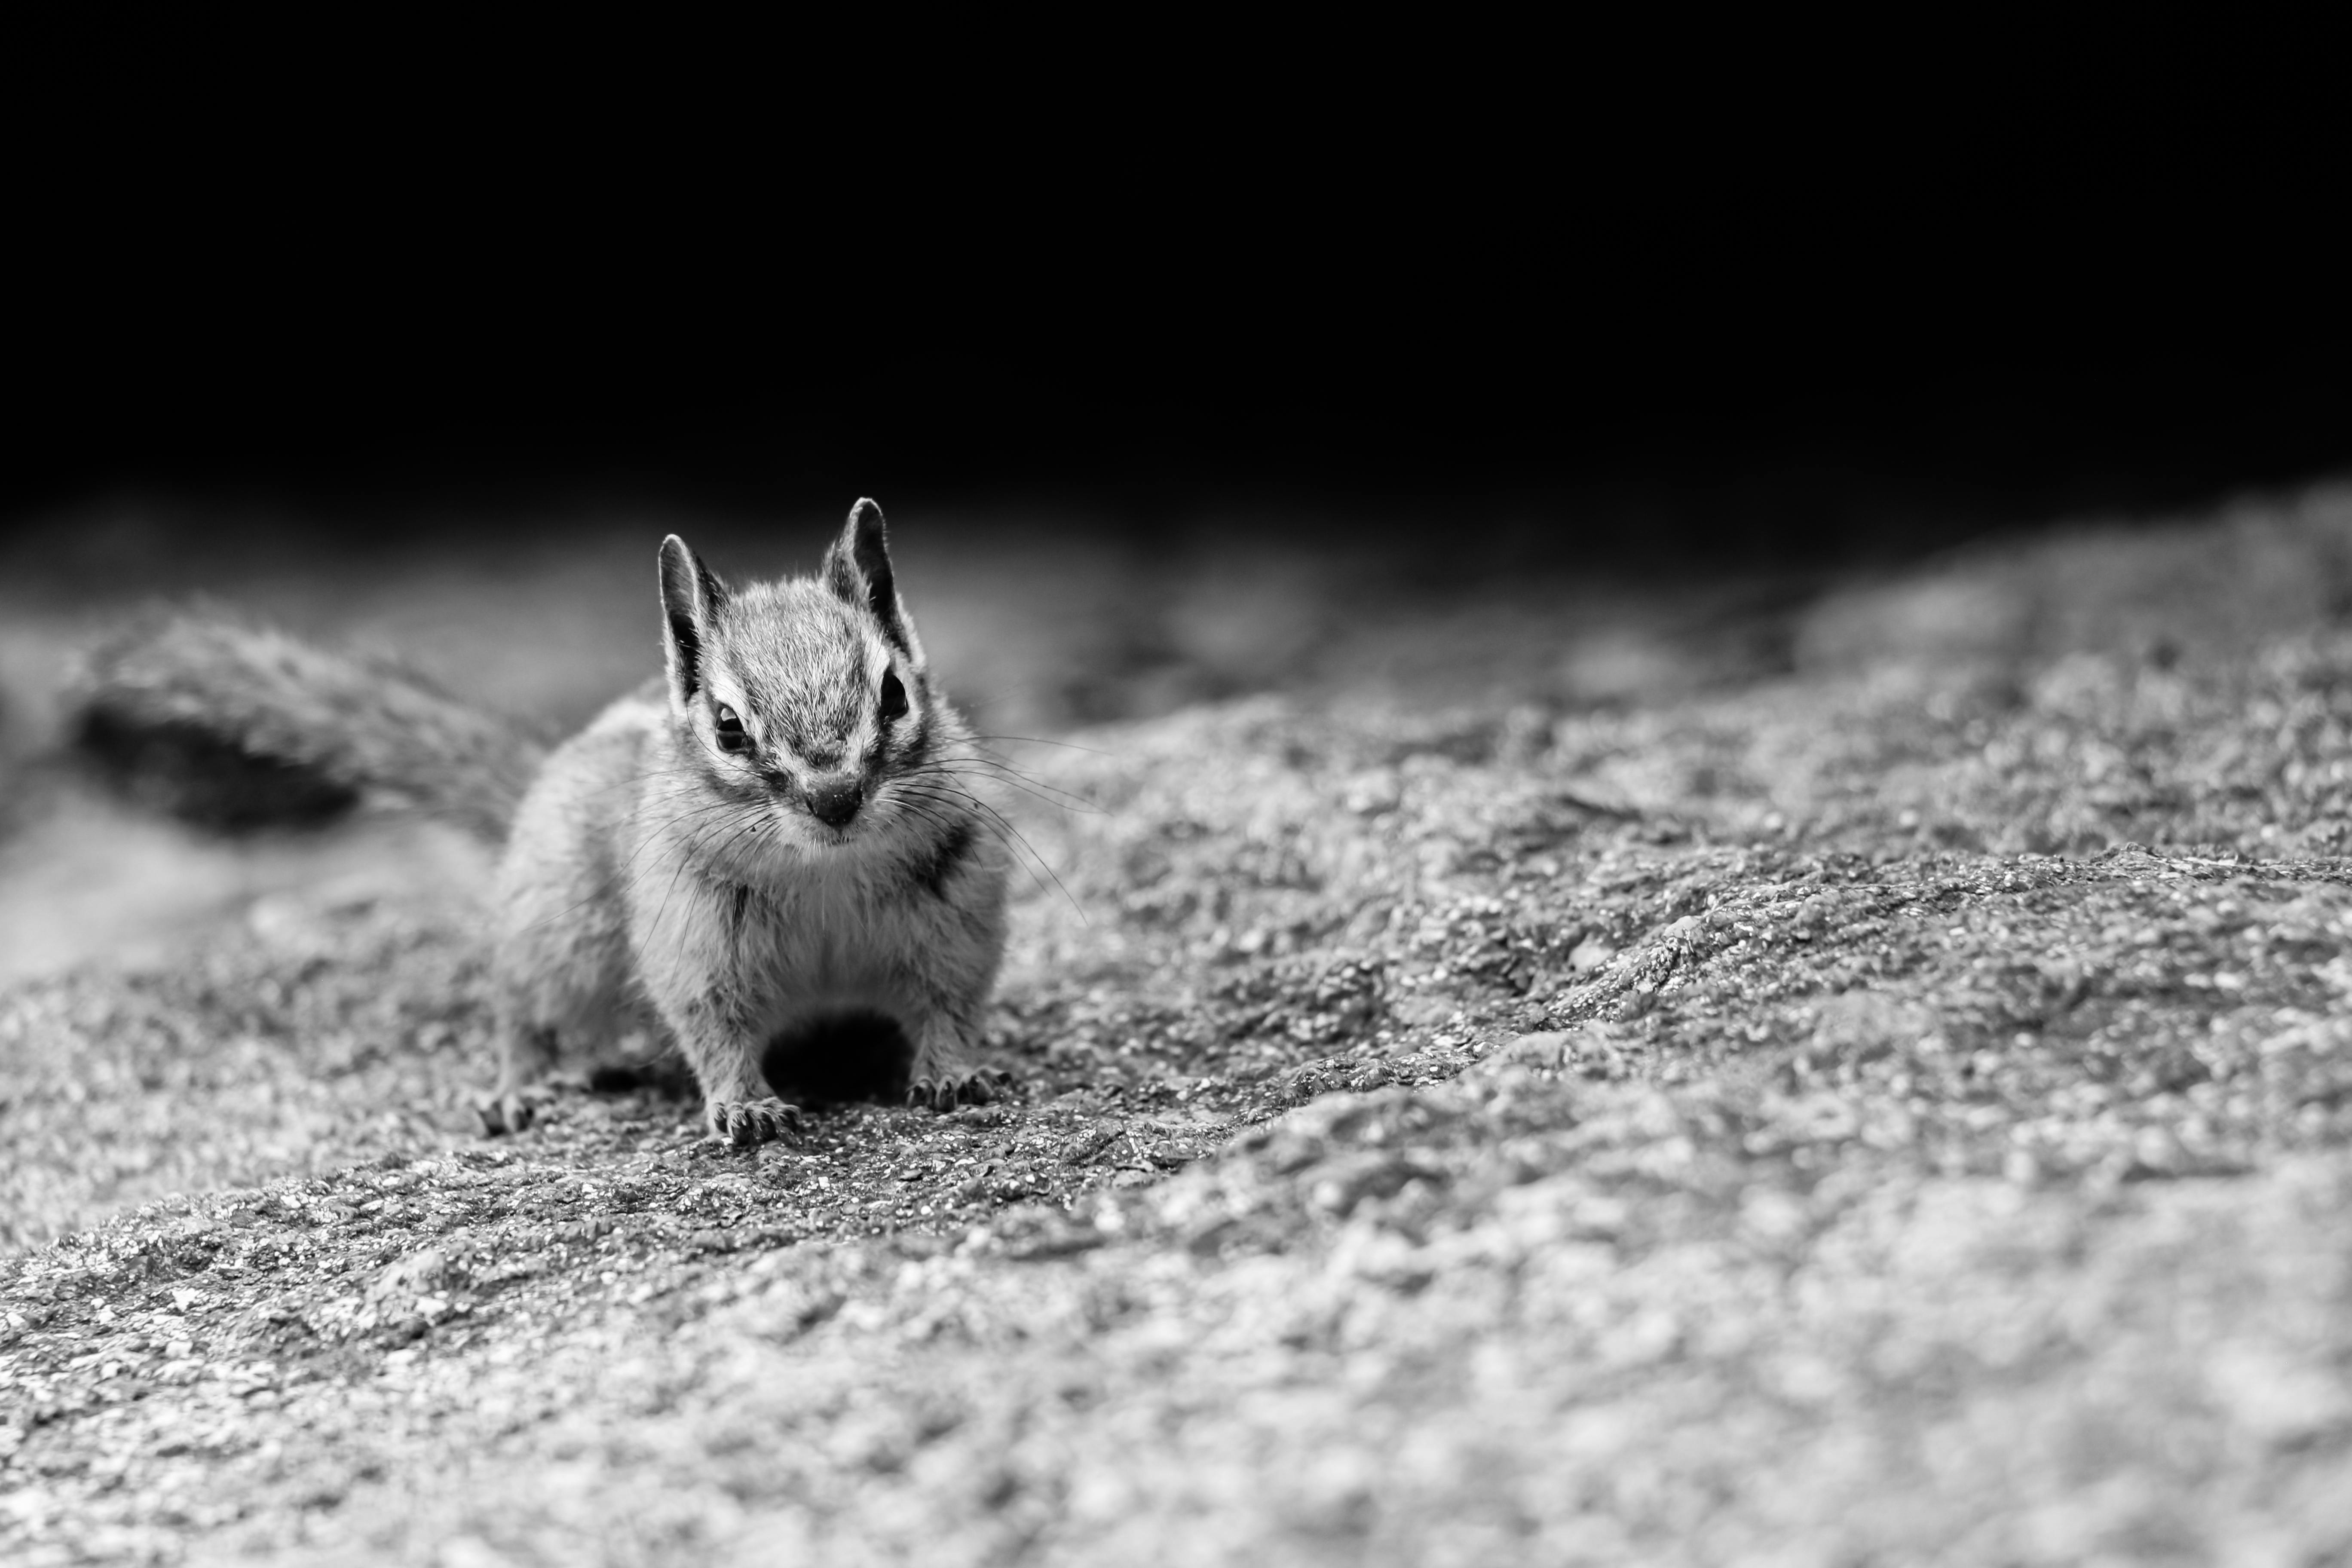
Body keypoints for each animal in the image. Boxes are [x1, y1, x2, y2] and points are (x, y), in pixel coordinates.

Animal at [76, 500, 1013, 1145]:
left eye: (894, 693)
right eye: (728, 727)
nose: (834, 795)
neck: (824, 872)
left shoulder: (956, 922)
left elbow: (950, 1005)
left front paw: (952, 1075)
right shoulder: (694, 947)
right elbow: (713, 1030)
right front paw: (745, 1107)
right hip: (558, 936)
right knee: (521, 1013)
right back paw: (517, 1090)